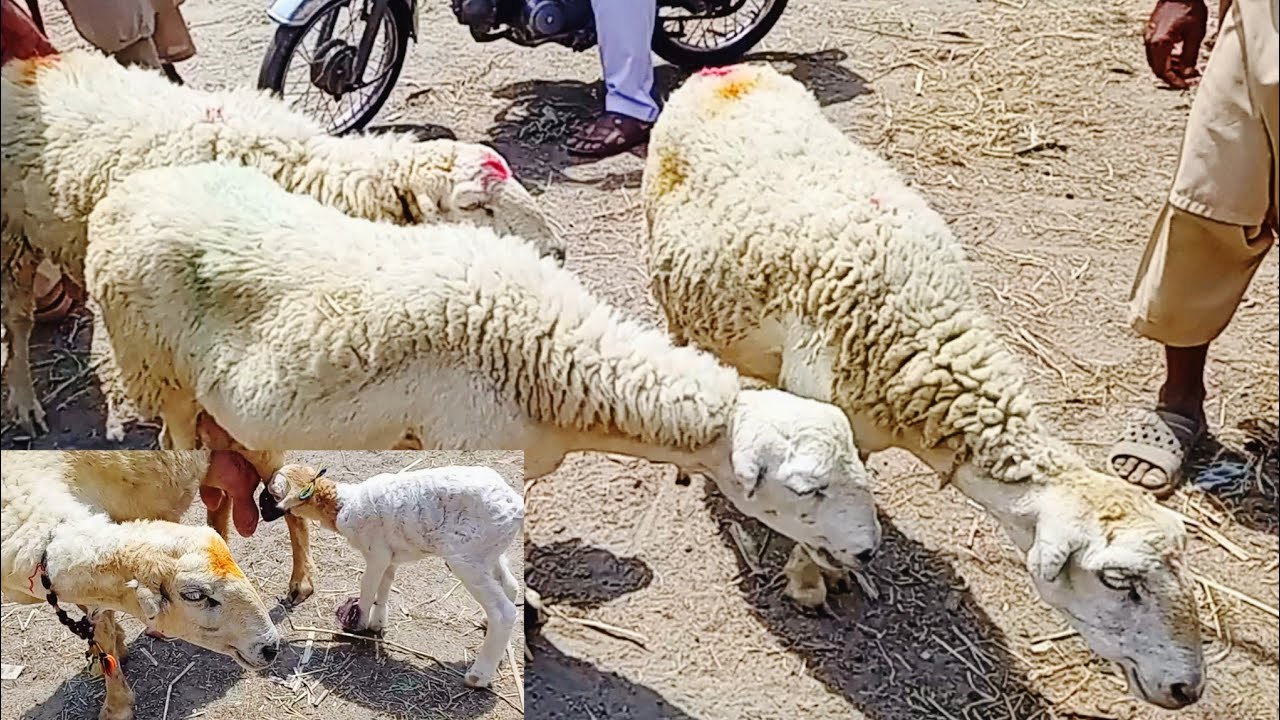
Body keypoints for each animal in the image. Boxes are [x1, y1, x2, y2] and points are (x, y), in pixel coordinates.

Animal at [0, 46, 566, 437]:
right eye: (475, 205)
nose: (559, 251)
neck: (304, 172)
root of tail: (19, 68)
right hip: (11, 238)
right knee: (18, 319)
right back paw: (25, 402)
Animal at [1, 450, 282, 720]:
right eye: (194, 595)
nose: (270, 648)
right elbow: (99, 623)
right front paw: (109, 652)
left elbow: (102, 629)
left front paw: (116, 707)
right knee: (221, 500)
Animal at [83, 160, 883, 584]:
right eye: (806, 490)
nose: (869, 548)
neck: (552, 350)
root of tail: (128, 192)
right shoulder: (474, 440)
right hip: (157, 370)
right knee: (174, 442)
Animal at [261, 463, 523, 688]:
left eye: (273, 493)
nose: (263, 514)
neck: (342, 505)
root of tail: (515, 505)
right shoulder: (389, 556)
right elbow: (384, 586)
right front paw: (376, 623)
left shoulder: (376, 553)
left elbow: (367, 586)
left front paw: (359, 624)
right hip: (488, 552)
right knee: (510, 585)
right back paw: (489, 632)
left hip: (466, 557)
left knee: (504, 612)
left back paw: (478, 676)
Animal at [640, 63, 1206, 710]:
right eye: (1118, 581)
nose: (1188, 688)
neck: (926, 335)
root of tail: (726, 71)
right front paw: (809, 582)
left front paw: (838, 562)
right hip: (665, 272)